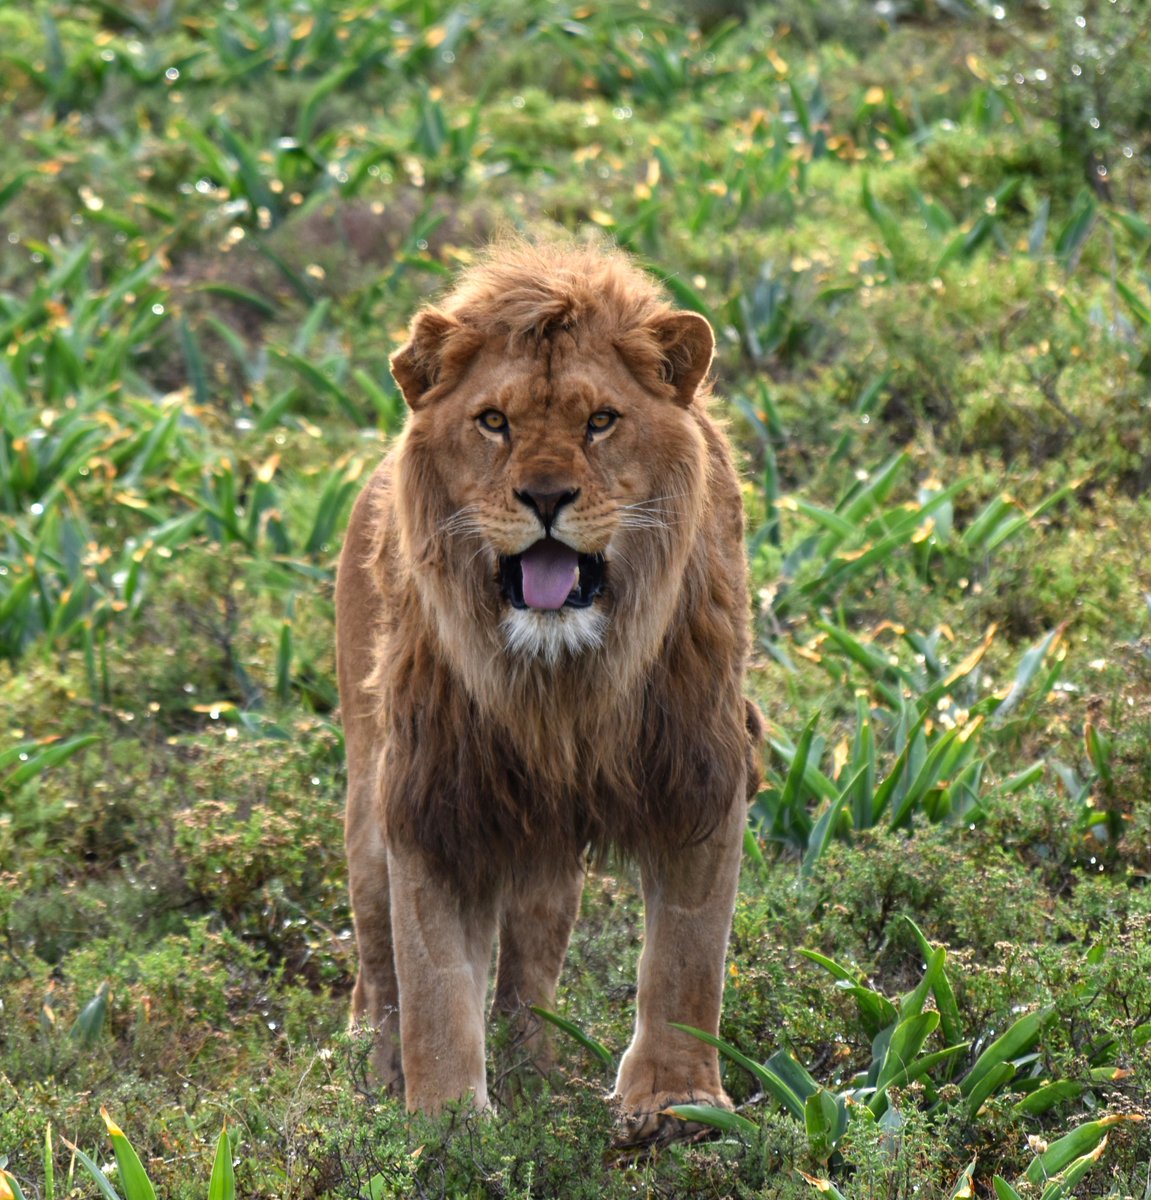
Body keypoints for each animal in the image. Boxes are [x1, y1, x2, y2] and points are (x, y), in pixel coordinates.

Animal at [336, 240, 760, 1145]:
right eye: (493, 422)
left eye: (600, 421)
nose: (543, 498)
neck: (561, 686)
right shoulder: (431, 799)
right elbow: (432, 982)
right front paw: (446, 1130)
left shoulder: (701, 774)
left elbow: (686, 957)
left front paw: (674, 1104)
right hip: (363, 797)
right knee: (379, 958)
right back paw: (372, 1067)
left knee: (530, 959)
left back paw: (537, 1070)